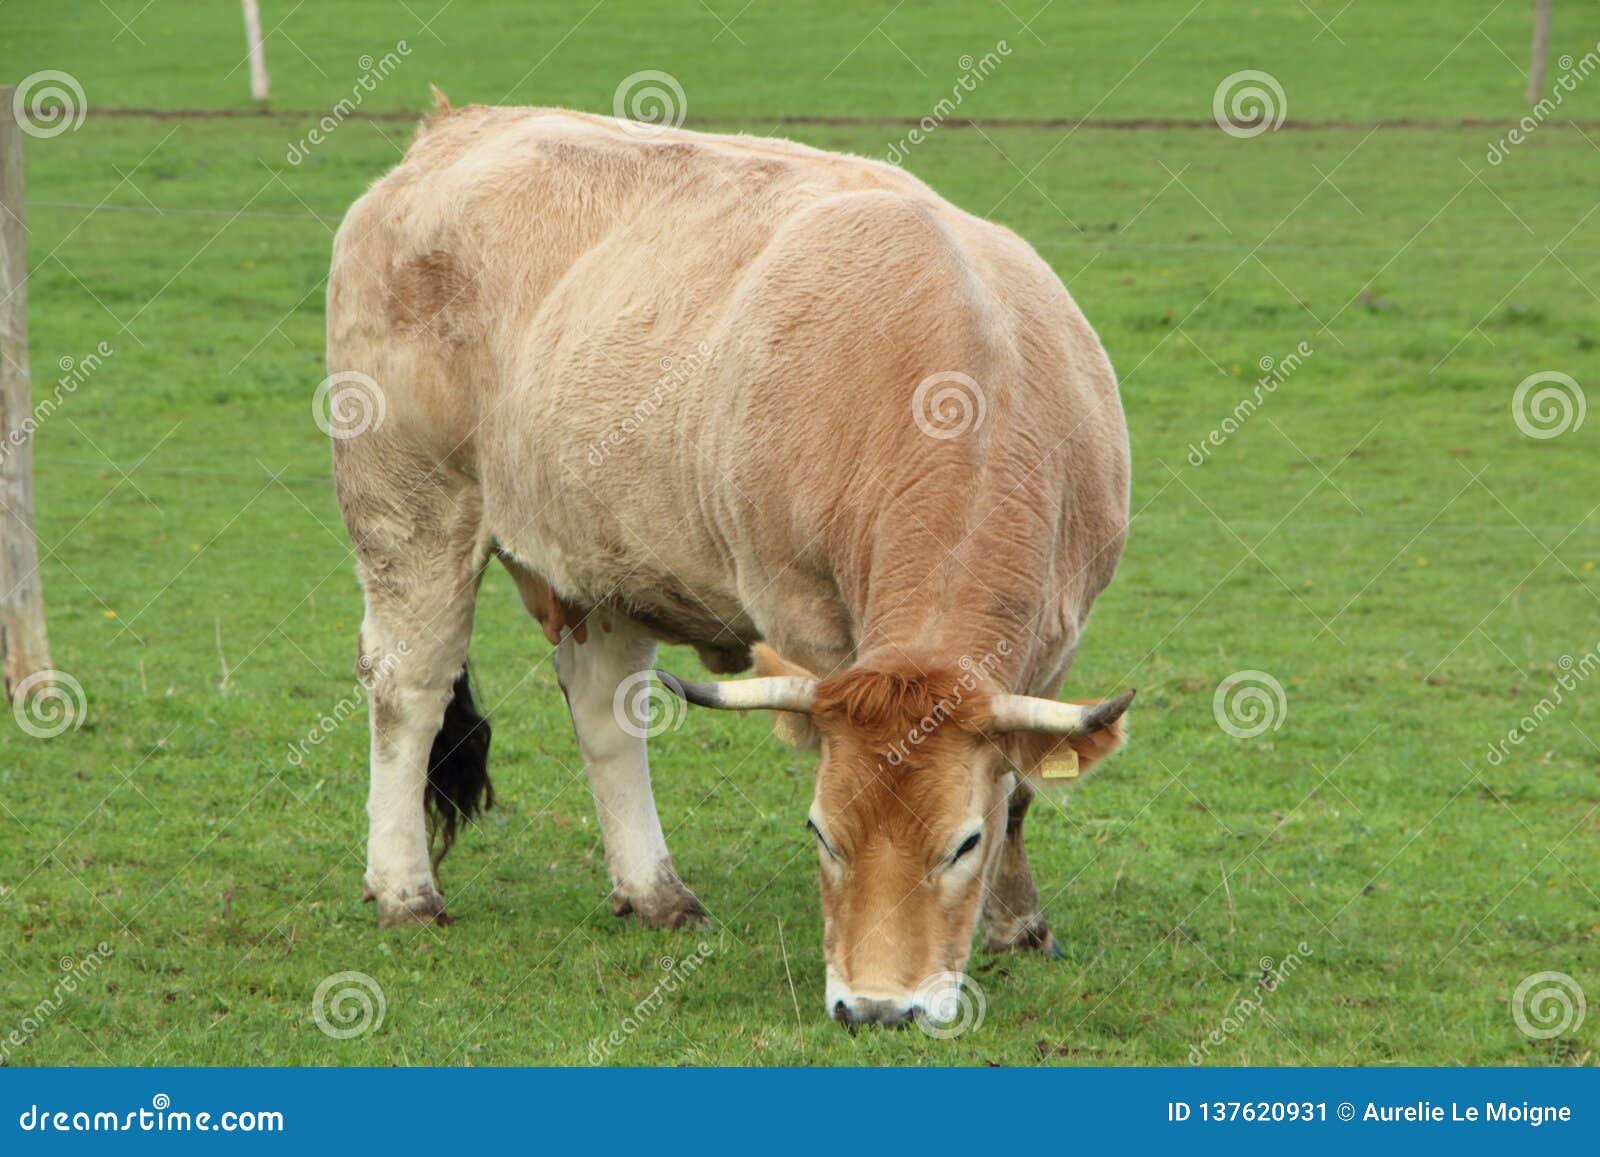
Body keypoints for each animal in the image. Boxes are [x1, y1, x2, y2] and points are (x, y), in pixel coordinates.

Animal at [326, 92, 1132, 1027]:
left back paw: (655, 890)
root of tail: (458, 127)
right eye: (822, 833)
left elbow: (1023, 788)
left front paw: (1017, 922)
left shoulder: (1059, 637)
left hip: (606, 550)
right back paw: (404, 888)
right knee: (408, 689)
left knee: (604, 707)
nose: (877, 1006)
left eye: (964, 842)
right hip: (410, 506)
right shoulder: (809, 625)